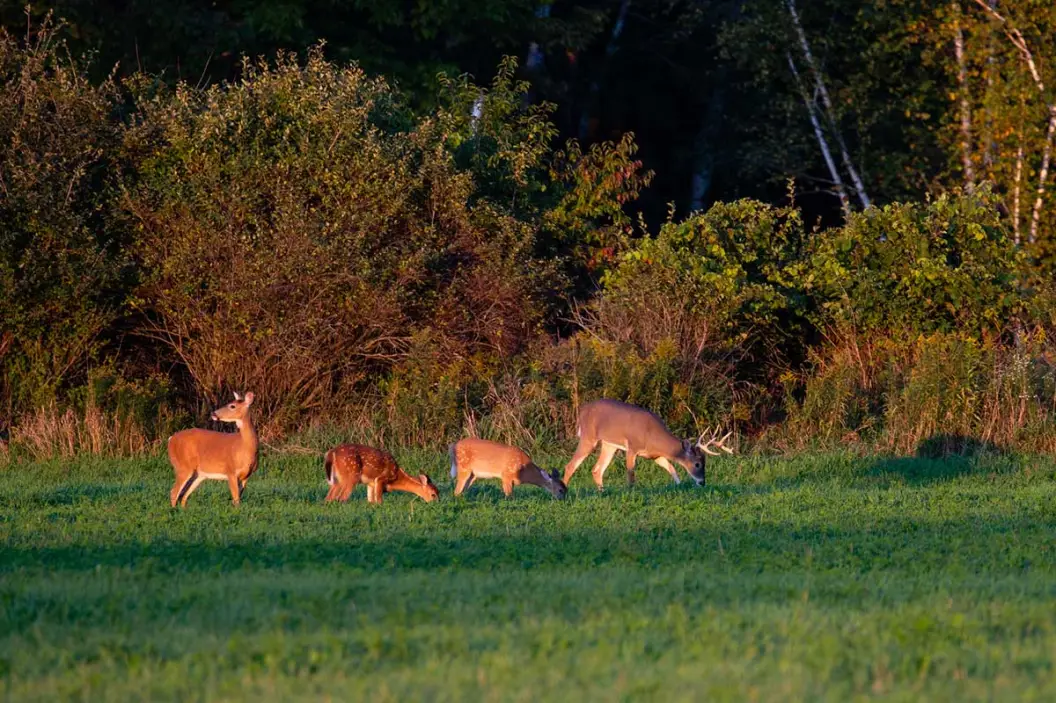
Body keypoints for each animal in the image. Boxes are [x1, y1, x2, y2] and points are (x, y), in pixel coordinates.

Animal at [563, 399, 733, 490]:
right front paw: (631, 491)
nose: (702, 482)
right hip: (588, 437)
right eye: (697, 464)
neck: (652, 435)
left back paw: (602, 492)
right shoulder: (632, 447)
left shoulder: (655, 455)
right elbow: (631, 474)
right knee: (570, 466)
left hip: (609, 444)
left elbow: (671, 468)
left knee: (597, 469)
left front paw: (679, 485)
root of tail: (581, 410)